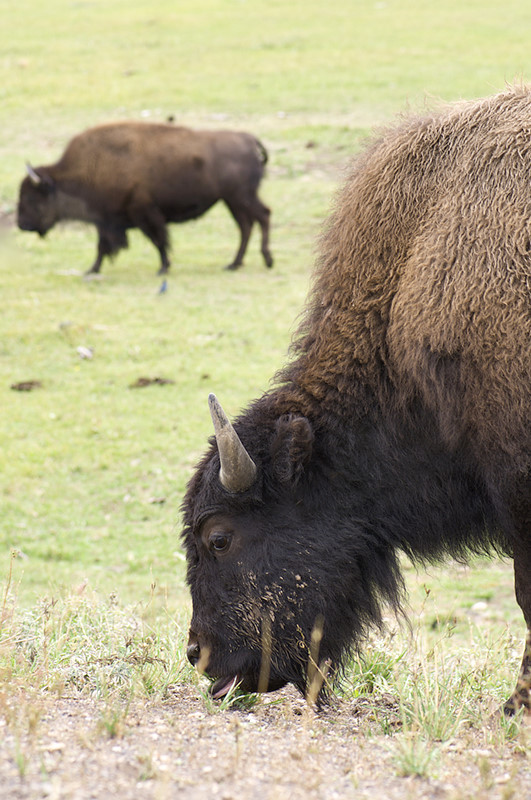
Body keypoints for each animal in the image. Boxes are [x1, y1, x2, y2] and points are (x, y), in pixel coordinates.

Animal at [17, 122, 273, 275]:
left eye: (31, 198)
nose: (21, 224)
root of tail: (249, 139)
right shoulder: (106, 220)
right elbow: (102, 246)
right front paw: (93, 269)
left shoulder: (144, 212)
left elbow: (158, 240)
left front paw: (163, 268)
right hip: (233, 200)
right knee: (247, 225)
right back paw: (234, 263)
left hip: (240, 197)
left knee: (261, 217)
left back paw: (266, 260)